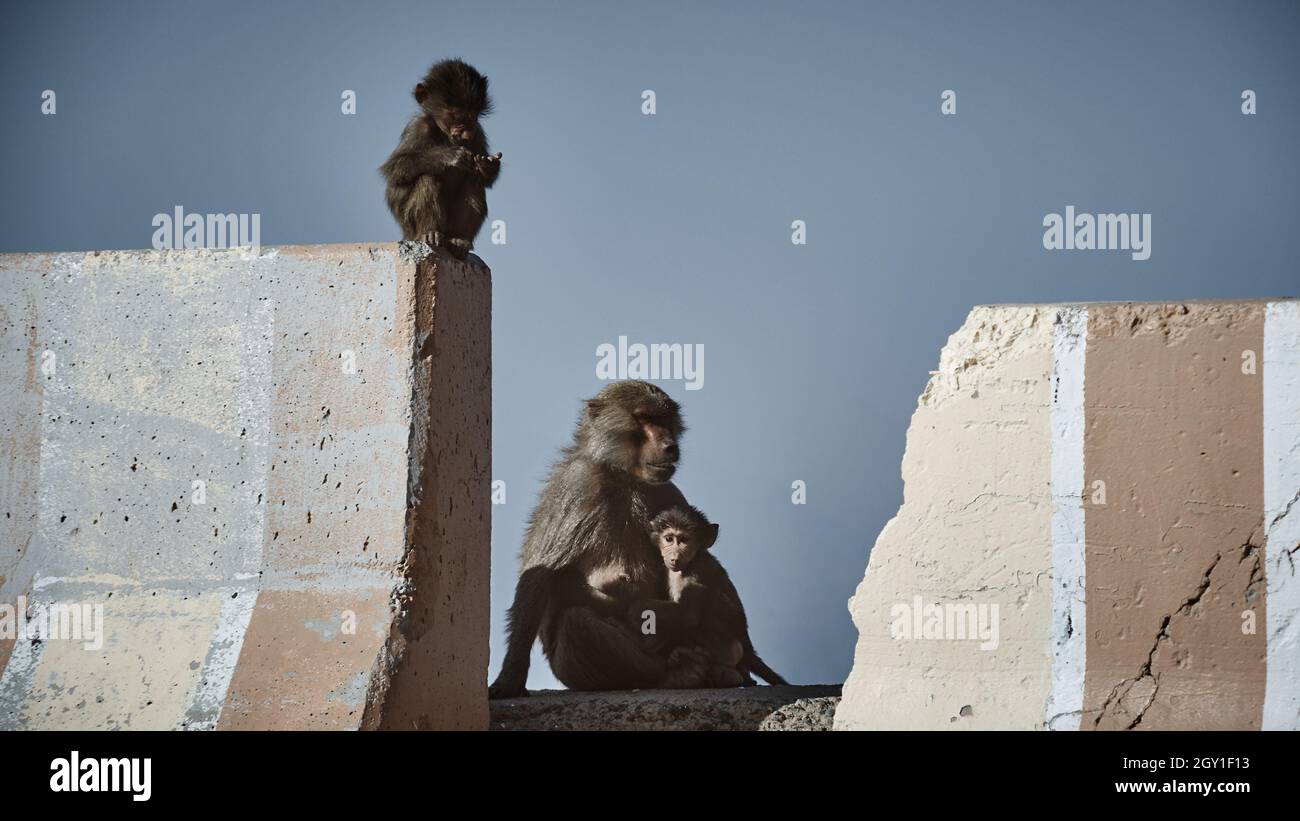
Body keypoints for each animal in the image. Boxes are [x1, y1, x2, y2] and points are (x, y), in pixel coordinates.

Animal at [380, 58, 502, 260]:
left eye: (472, 116)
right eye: (457, 116)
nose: (466, 133)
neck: (445, 134)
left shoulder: (478, 133)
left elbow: (484, 178)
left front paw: (487, 166)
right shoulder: (419, 128)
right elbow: (395, 169)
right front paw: (448, 156)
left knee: (473, 183)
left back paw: (459, 240)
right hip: (410, 228)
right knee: (427, 179)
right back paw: (430, 232)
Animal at [488, 381, 713, 698]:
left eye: (665, 419)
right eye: (645, 419)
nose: (670, 446)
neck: (622, 477)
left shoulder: (668, 491)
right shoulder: (576, 484)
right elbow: (540, 574)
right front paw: (510, 678)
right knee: (577, 624)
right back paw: (675, 674)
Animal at [633, 505, 789, 687]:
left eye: (684, 540)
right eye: (669, 539)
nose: (674, 556)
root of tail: (748, 651)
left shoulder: (697, 570)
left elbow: (687, 614)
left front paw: (634, 610)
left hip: (726, 646)